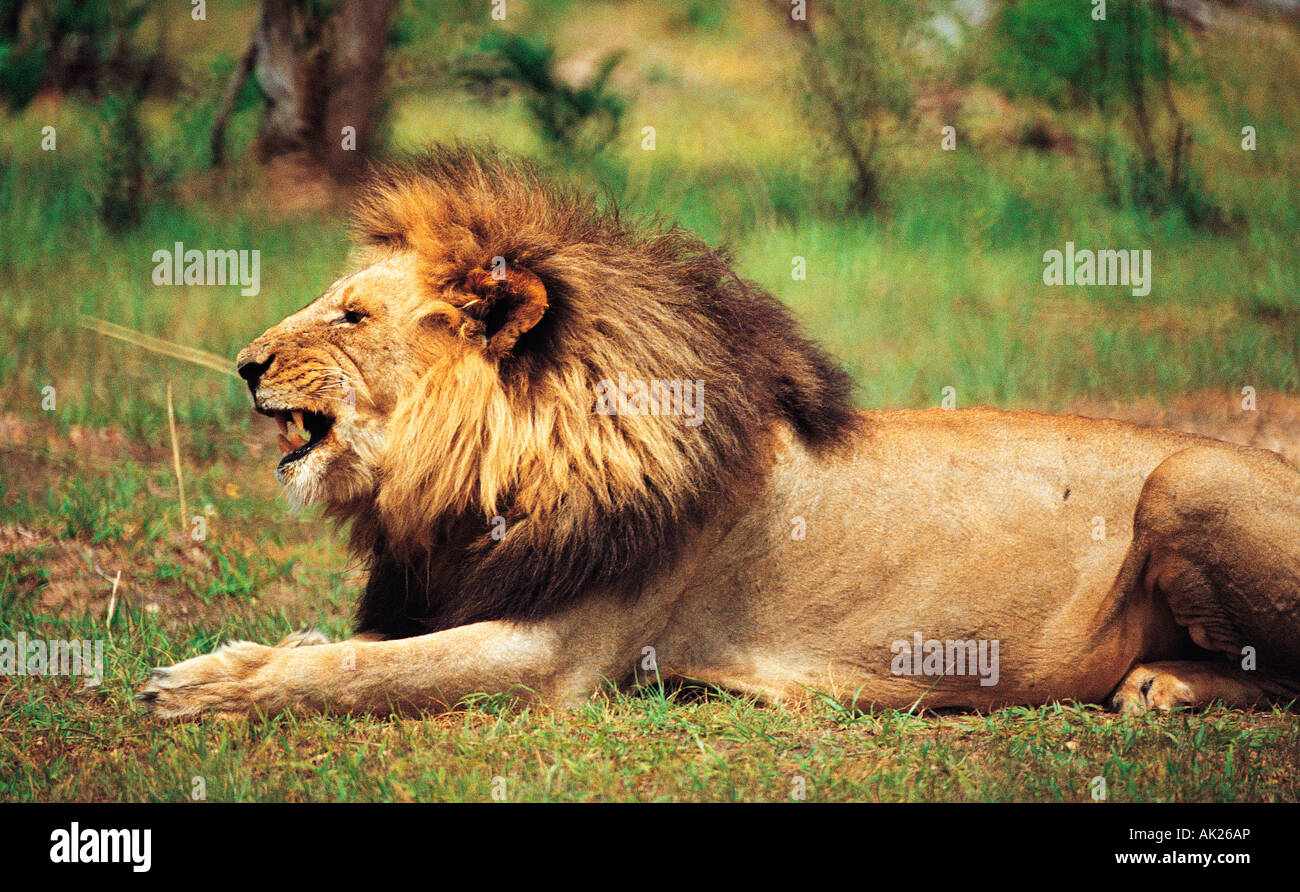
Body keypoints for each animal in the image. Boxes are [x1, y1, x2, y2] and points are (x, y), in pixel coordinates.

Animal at [137, 144, 1300, 719]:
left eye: (350, 315)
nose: (243, 364)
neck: (483, 472)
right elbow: (352, 647)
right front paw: (247, 654)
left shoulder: (557, 650)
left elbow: (364, 674)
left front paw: (208, 688)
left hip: (1188, 476)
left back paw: (1162, 685)